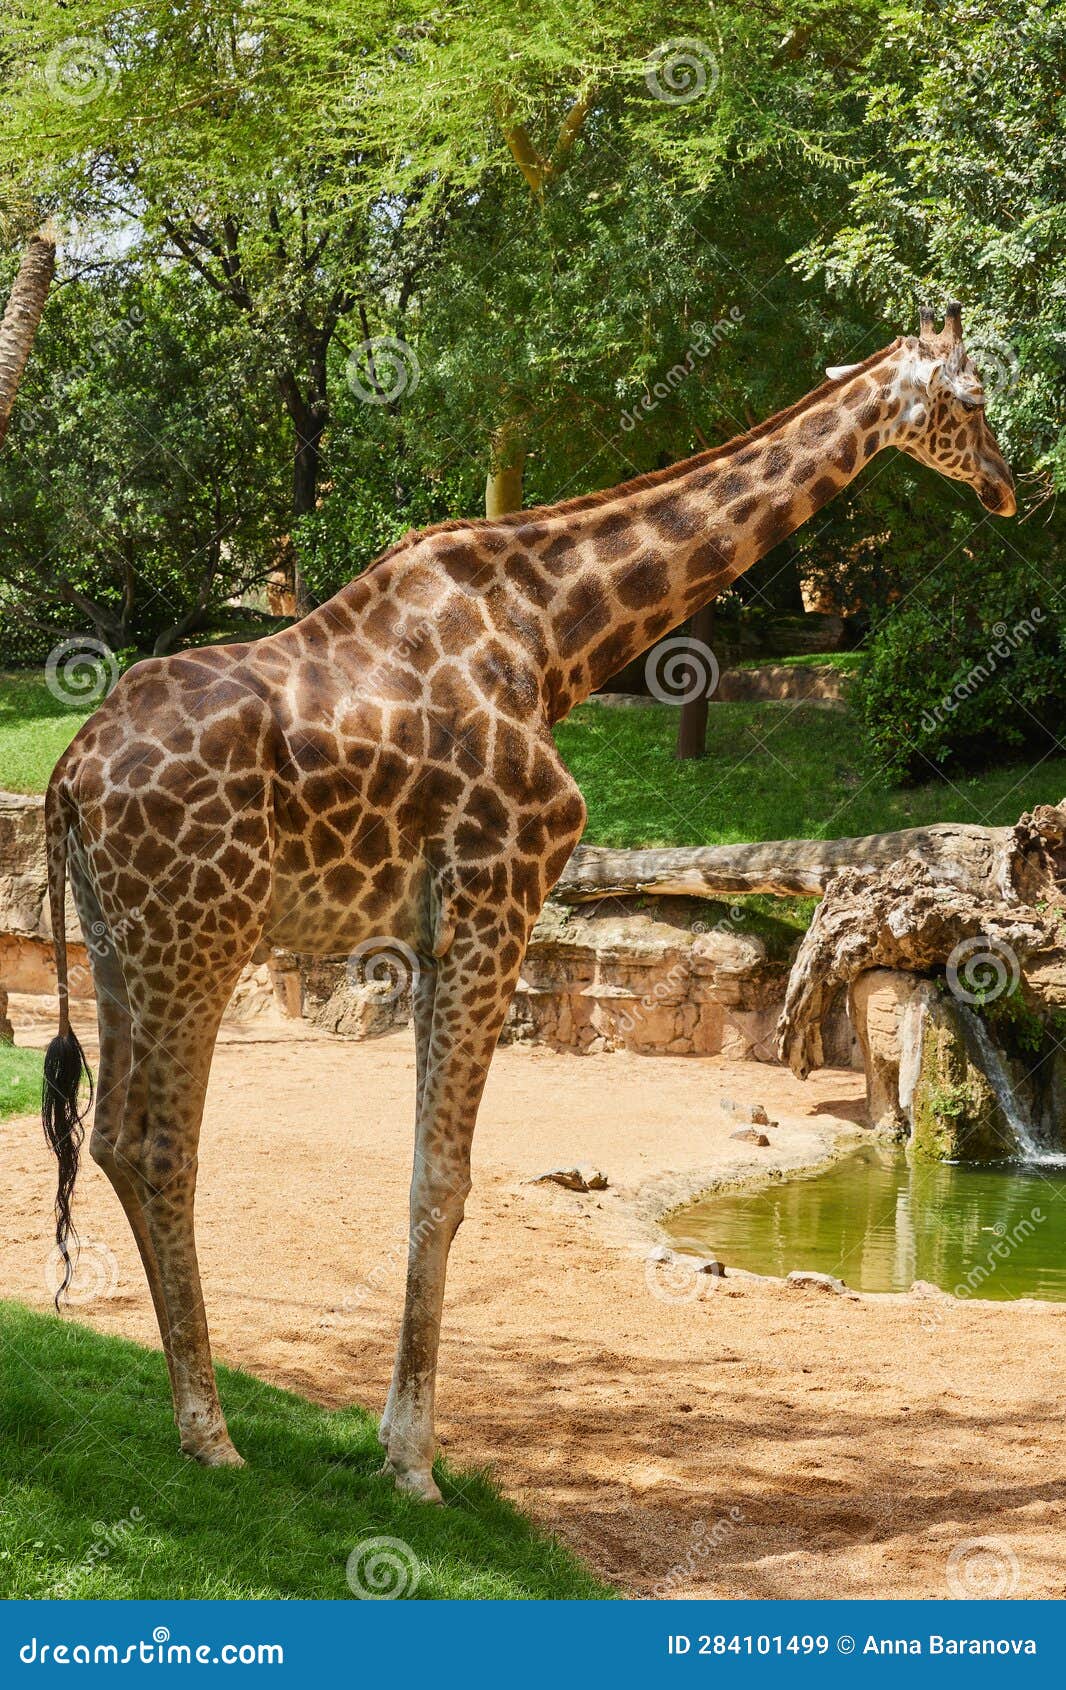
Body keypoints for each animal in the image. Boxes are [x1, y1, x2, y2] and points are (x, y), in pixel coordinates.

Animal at [41, 305, 1014, 1500]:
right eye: (971, 396)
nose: (1010, 486)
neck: (555, 637)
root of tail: (70, 773)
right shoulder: (496, 895)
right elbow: (443, 1179)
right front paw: (413, 1463)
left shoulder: (428, 930)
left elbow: (430, 1169)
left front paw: (395, 1441)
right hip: (201, 932)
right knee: (161, 1145)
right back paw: (212, 1433)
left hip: (119, 938)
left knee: (113, 1139)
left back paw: (194, 1418)